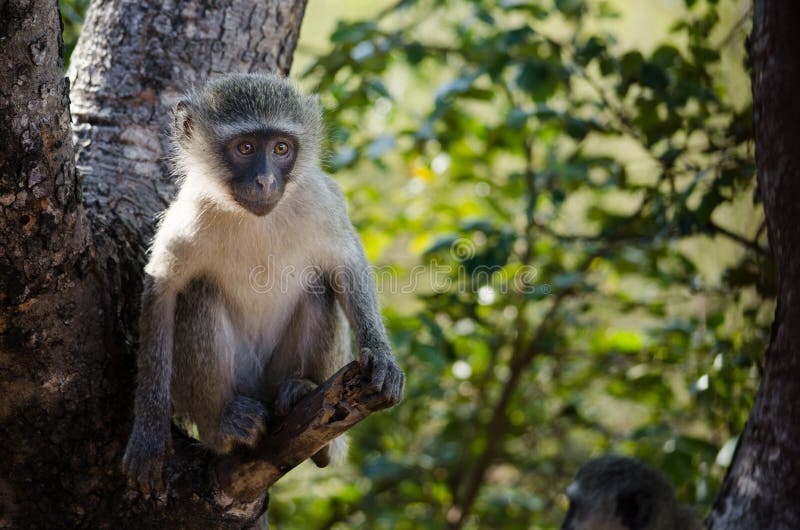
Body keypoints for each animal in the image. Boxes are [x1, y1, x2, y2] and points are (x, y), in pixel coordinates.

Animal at [121, 73, 405, 494]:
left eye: (281, 148)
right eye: (246, 147)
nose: (266, 180)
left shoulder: (322, 201)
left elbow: (346, 266)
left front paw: (382, 356)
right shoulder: (190, 213)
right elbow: (163, 291)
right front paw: (149, 433)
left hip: (275, 375)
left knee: (318, 289)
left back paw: (304, 397)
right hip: (232, 382)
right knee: (199, 294)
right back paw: (224, 425)